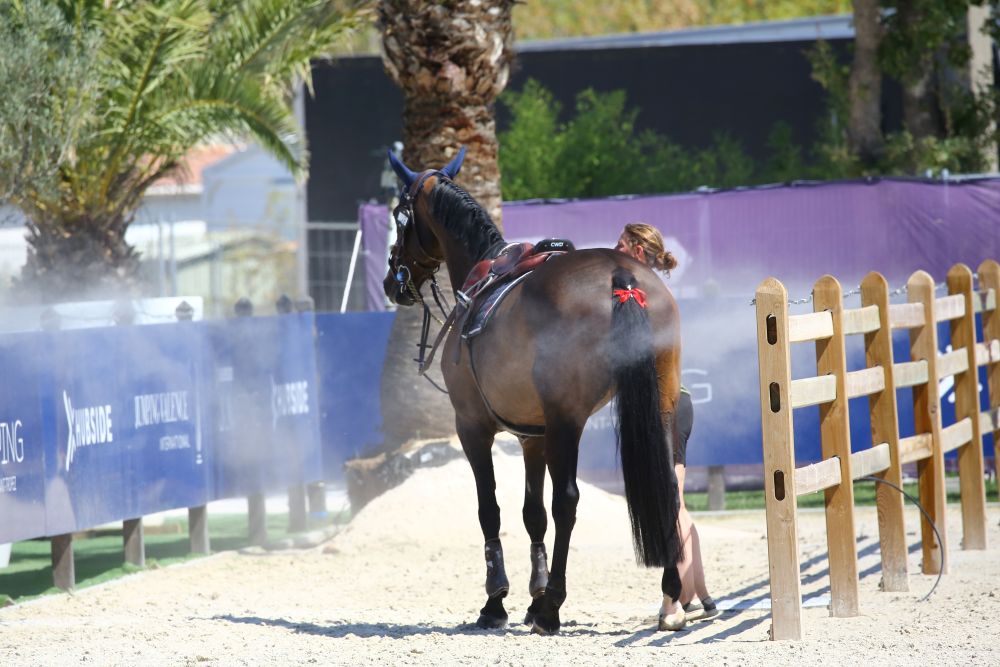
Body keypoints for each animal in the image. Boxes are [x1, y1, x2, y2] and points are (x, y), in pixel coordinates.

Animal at [382, 148, 685, 635]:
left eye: (399, 215)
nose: (394, 280)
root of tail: (622, 275)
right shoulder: (532, 437)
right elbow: (532, 514)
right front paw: (533, 591)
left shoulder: (472, 427)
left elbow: (491, 509)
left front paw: (498, 600)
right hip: (660, 406)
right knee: (668, 488)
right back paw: (671, 592)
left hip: (567, 421)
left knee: (568, 502)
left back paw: (552, 608)